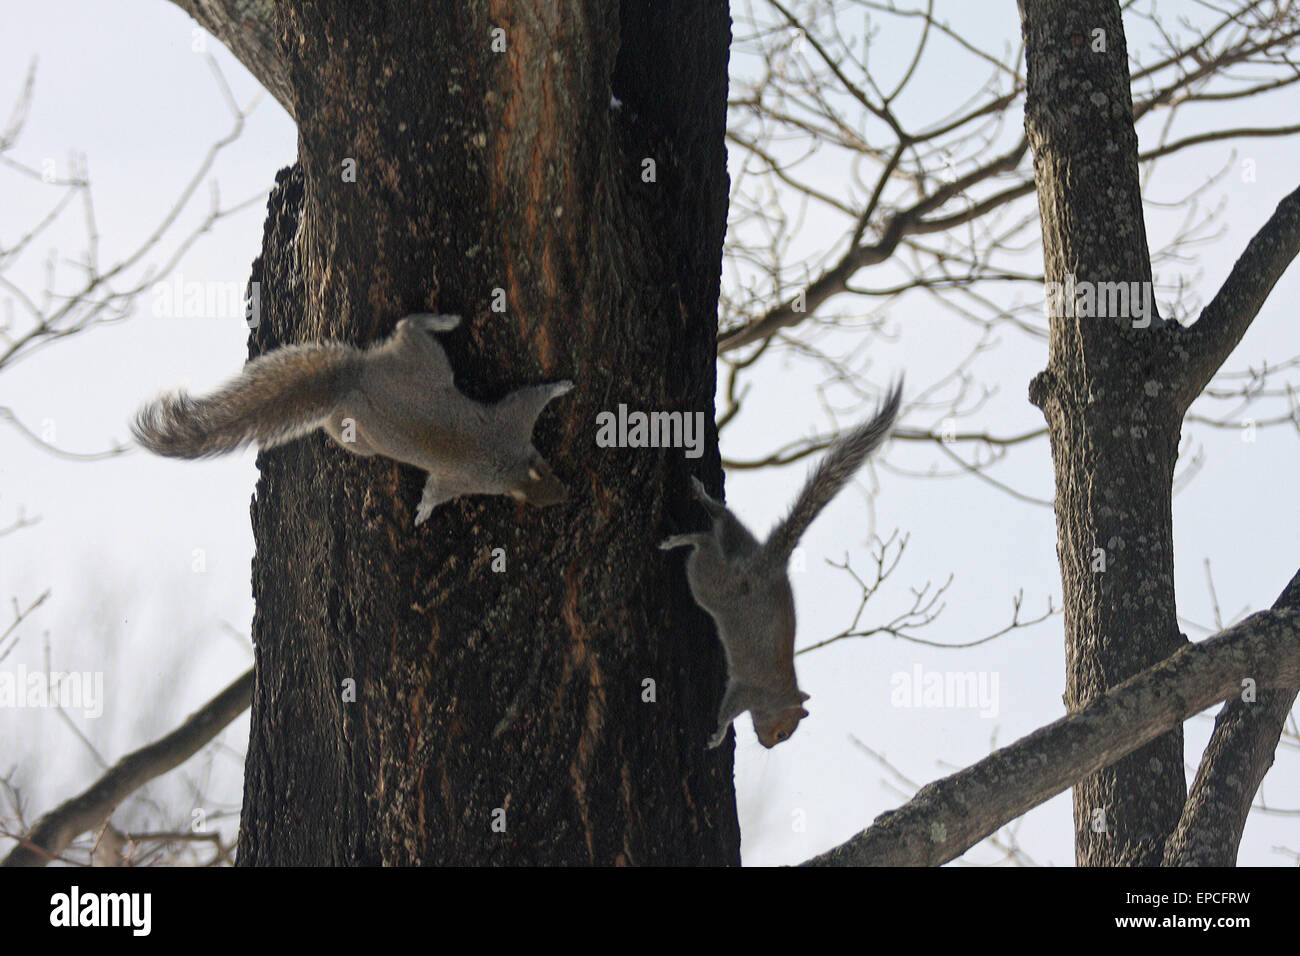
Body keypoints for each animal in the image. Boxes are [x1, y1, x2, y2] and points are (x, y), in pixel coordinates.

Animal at [132, 313, 574, 524]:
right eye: (534, 501)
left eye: (554, 475)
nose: (567, 496)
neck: (507, 463)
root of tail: (354, 378)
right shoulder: (477, 464)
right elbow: (436, 490)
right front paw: (423, 511)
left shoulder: (513, 427)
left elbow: (532, 395)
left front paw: (562, 386)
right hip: (374, 416)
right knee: (407, 326)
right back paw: (443, 320)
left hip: (416, 361)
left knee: (407, 328)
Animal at [659, 381, 903, 749]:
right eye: (783, 732)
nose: (768, 745)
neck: (780, 695)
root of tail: (766, 564)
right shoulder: (748, 690)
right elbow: (728, 711)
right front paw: (717, 735)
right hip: (713, 584)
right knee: (703, 547)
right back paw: (681, 540)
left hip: (739, 539)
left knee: (722, 522)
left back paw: (702, 497)